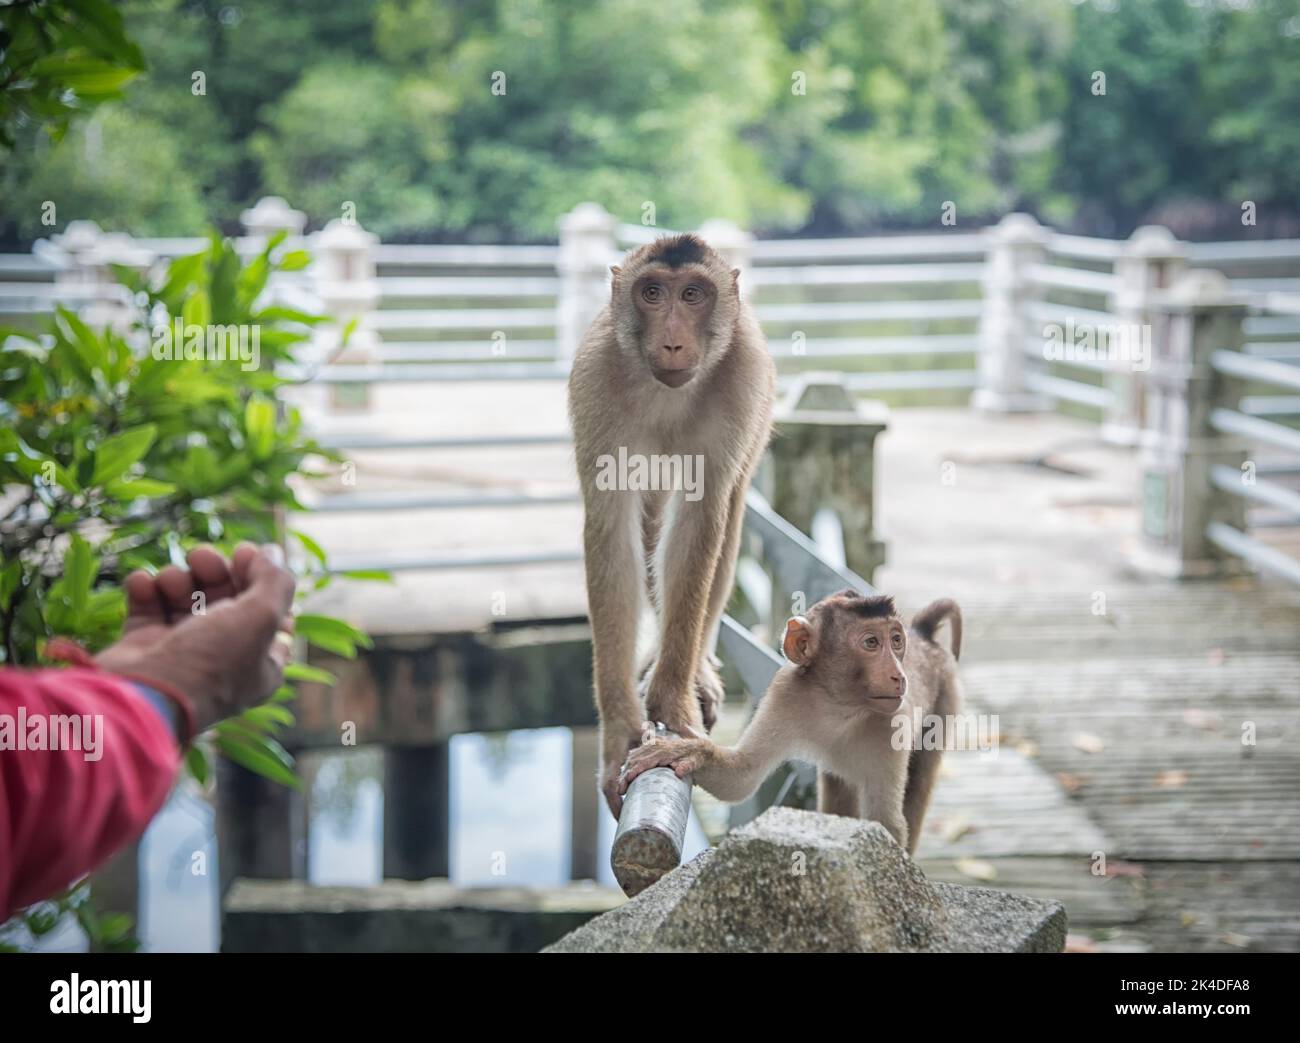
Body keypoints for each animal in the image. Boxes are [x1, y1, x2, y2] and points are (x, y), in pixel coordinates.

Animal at [568, 233, 776, 818]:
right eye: (653, 293)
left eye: (693, 295)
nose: (674, 342)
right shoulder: (595, 379)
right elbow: (612, 531)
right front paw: (619, 729)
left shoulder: (744, 380)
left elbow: (700, 523)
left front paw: (672, 701)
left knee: (727, 518)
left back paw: (693, 665)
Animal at [619, 590, 962, 855]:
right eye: (871, 643)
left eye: (895, 641)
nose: (898, 675)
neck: (839, 705)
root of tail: (923, 635)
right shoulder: (785, 694)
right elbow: (741, 777)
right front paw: (685, 752)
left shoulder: (892, 722)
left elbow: (886, 819)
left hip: (945, 698)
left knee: (919, 779)